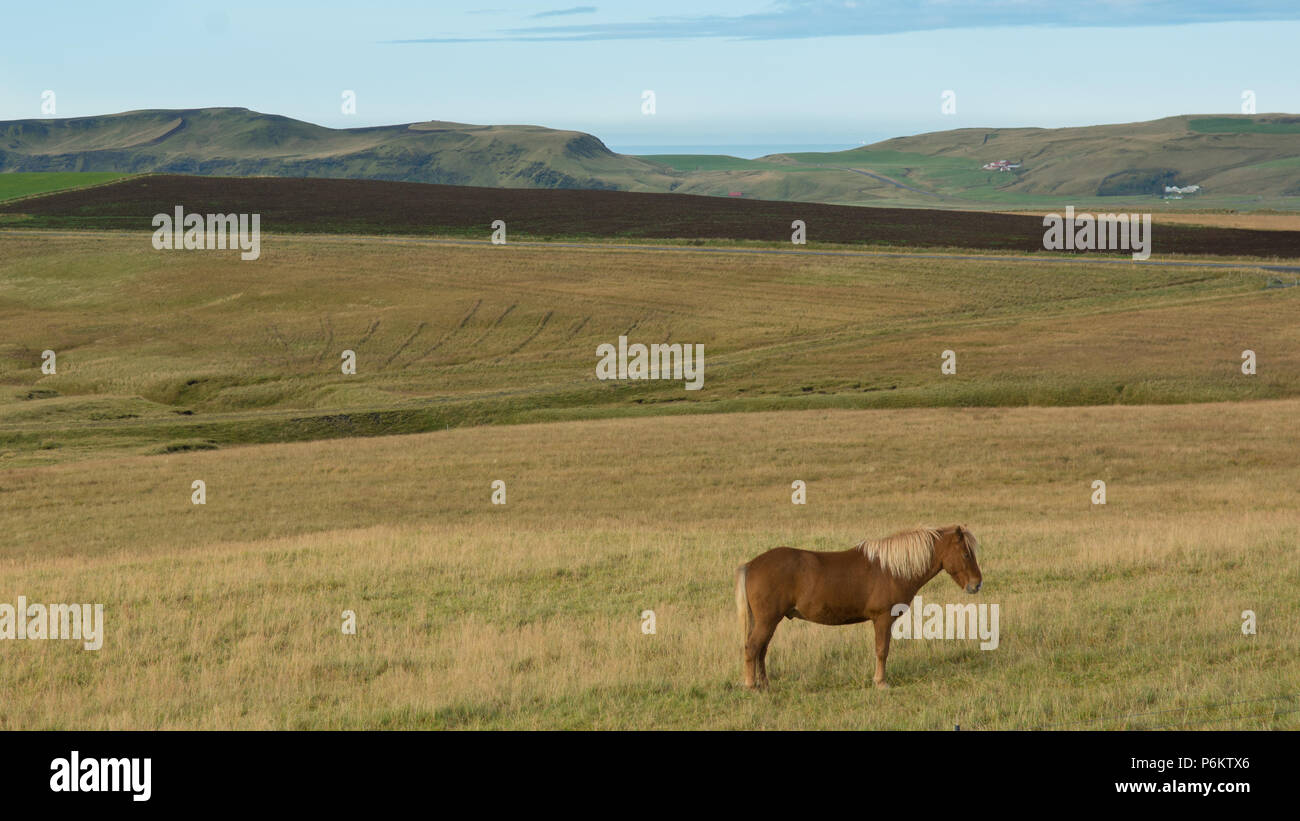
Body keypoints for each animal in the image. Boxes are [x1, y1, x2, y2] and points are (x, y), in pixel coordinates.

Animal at [734, 524, 982, 689]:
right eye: (965, 553)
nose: (977, 584)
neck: (891, 569)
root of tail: (751, 565)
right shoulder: (883, 618)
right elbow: (882, 650)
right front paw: (881, 682)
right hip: (767, 621)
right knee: (752, 648)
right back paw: (751, 686)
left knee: (761, 650)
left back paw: (765, 684)